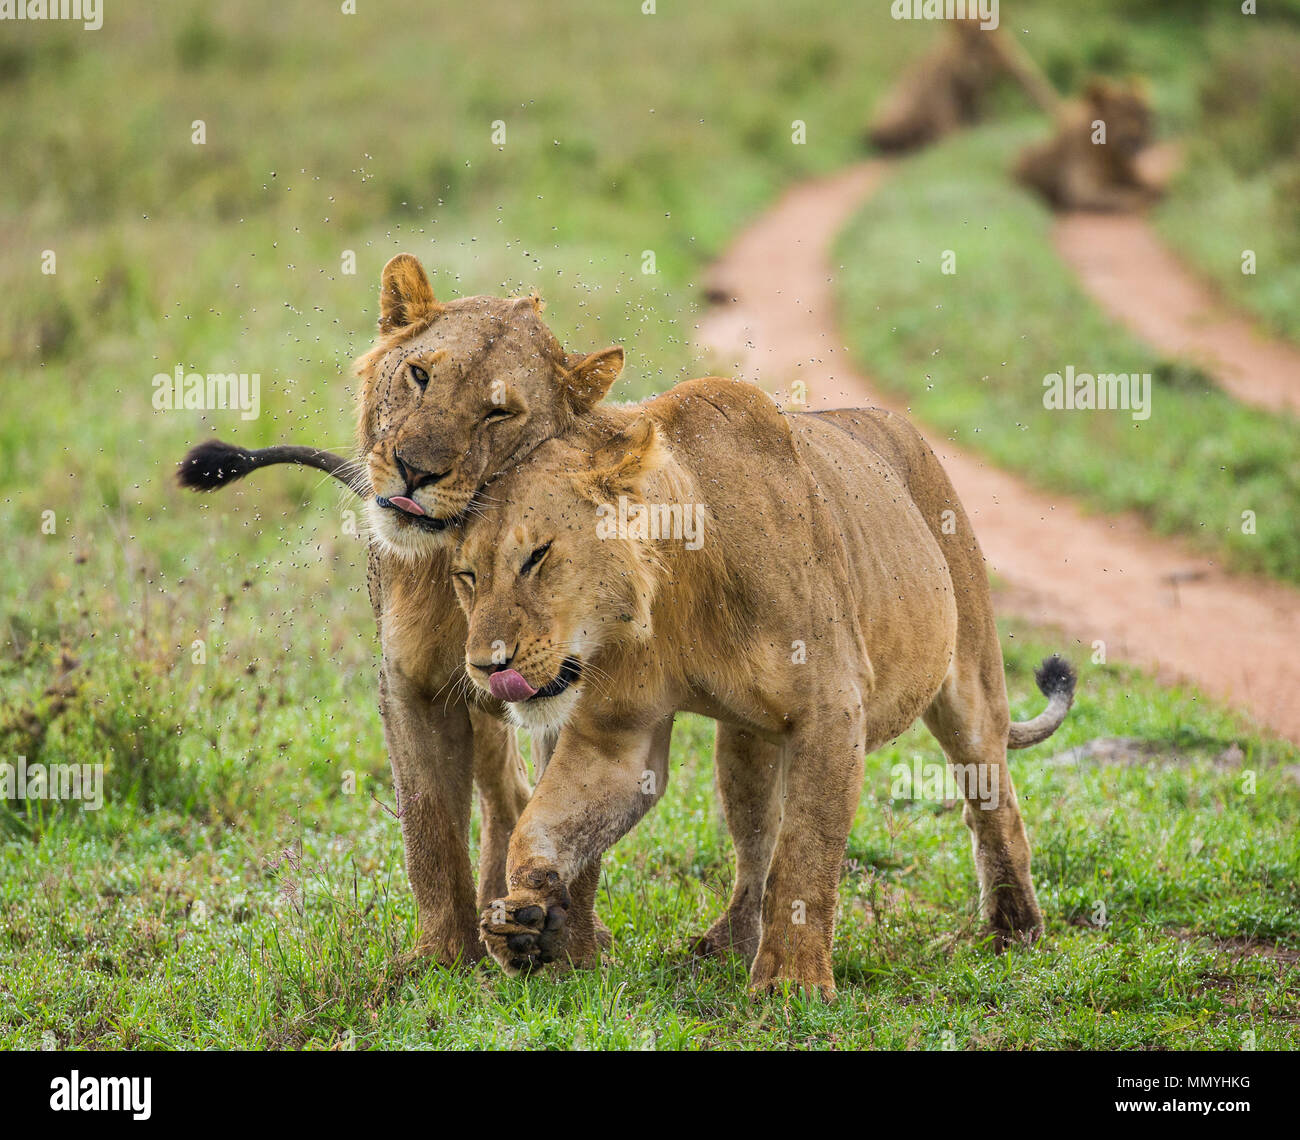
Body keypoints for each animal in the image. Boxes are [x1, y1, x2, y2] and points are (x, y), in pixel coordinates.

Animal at [454, 378, 1076, 997]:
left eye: (537, 557)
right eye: (467, 576)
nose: (485, 666)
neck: (678, 591)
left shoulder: (832, 712)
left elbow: (805, 857)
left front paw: (792, 985)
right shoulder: (617, 738)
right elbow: (540, 824)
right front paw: (524, 918)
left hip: (970, 677)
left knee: (992, 802)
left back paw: (1013, 931)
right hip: (747, 739)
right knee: (756, 843)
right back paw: (726, 943)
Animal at [866, 19, 1061, 153]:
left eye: (983, 45)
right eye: (967, 49)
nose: (973, 67)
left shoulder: (1012, 66)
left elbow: (1039, 91)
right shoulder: (946, 79)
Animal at [1014, 77, 1160, 211]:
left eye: (1143, 115)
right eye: (1121, 114)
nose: (1142, 138)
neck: (1110, 154)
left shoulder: (1129, 175)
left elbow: (1150, 187)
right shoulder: (1081, 190)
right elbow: (1125, 197)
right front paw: (1144, 201)